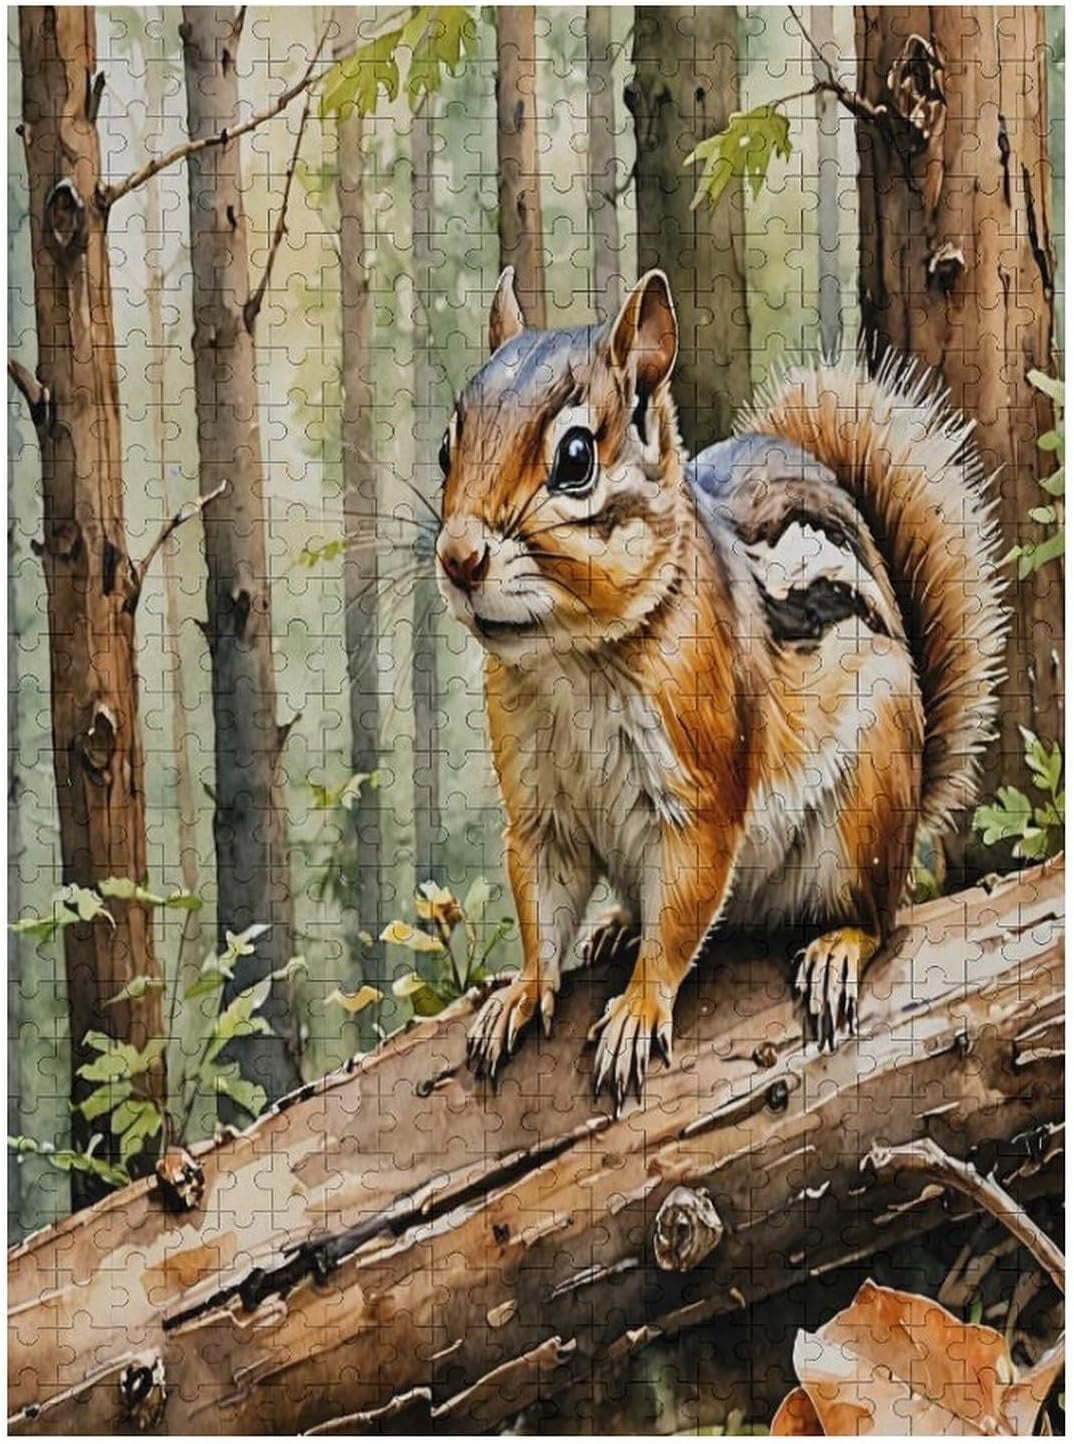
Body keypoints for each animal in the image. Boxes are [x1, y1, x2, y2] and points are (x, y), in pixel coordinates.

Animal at [435, 267, 1006, 1110]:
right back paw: (617, 923)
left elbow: (682, 912)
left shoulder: (699, 797)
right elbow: (542, 900)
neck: (572, 661)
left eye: (575, 457)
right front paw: (524, 991)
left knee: (879, 918)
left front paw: (640, 1009)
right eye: (449, 447)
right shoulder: (541, 811)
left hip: (868, 809)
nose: (458, 556)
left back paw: (837, 946)